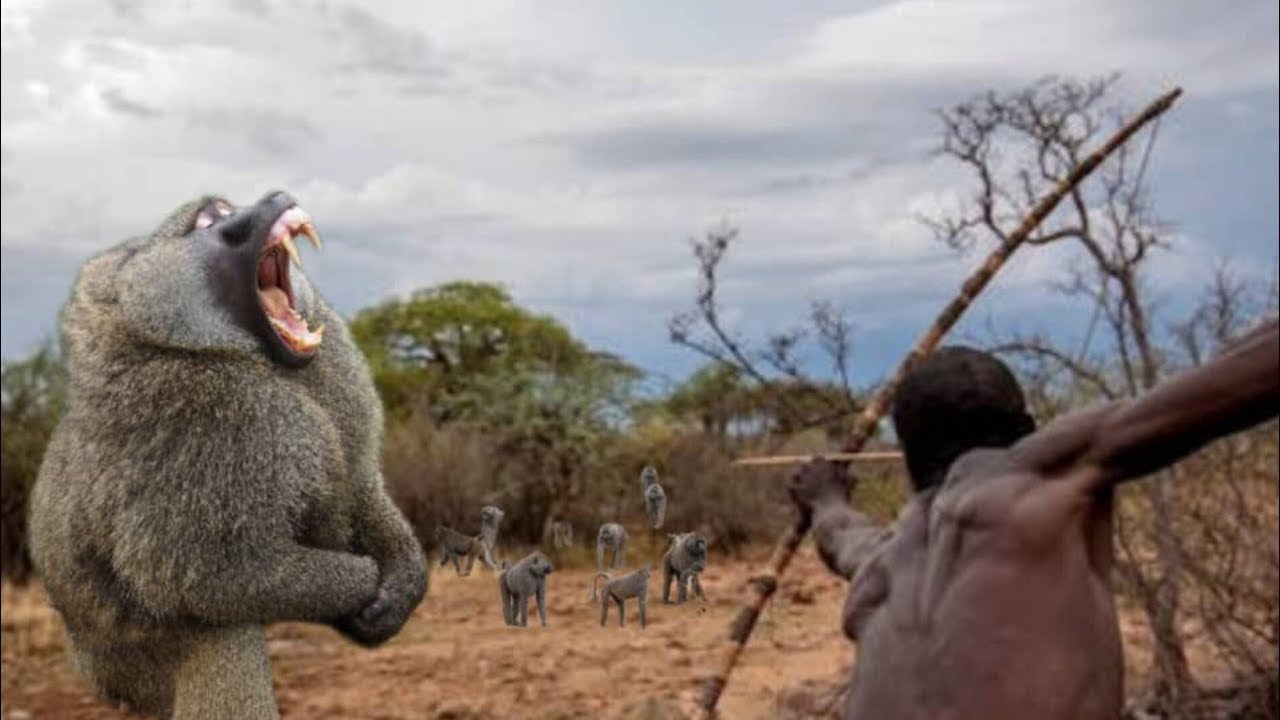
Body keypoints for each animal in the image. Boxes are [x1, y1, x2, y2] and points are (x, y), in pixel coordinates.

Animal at [27, 192, 428, 720]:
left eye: (223, 206)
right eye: (209, 220)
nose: (275, 198)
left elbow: (359, 487)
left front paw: (402, 581)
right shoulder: (222, 419)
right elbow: (205, 575)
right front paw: (361, 583)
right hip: (129, 659)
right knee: (223, 634)